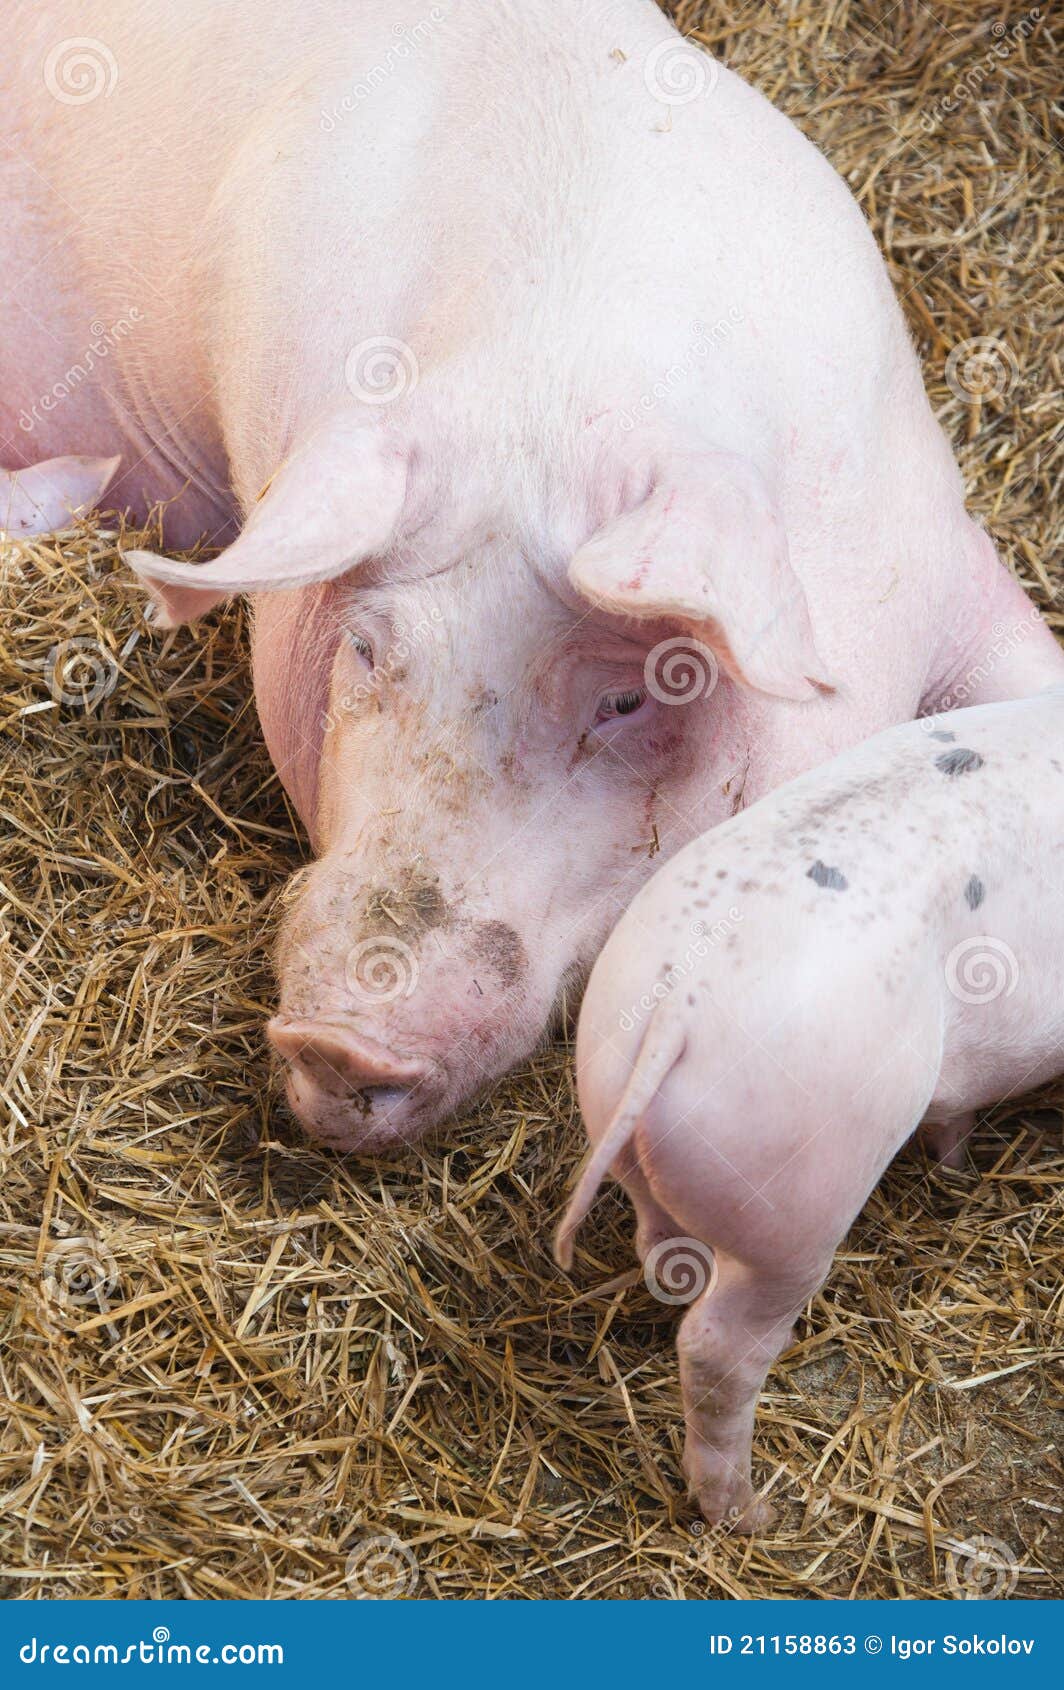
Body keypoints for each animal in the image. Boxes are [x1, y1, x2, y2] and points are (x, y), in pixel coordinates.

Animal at [555, 686, 1064, 1529]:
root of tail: (678, 1007)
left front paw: (958, 1165)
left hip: (623, 1111)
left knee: (660, 1247)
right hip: (795, 1202)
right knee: (716, 1349)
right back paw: (751, 1515)